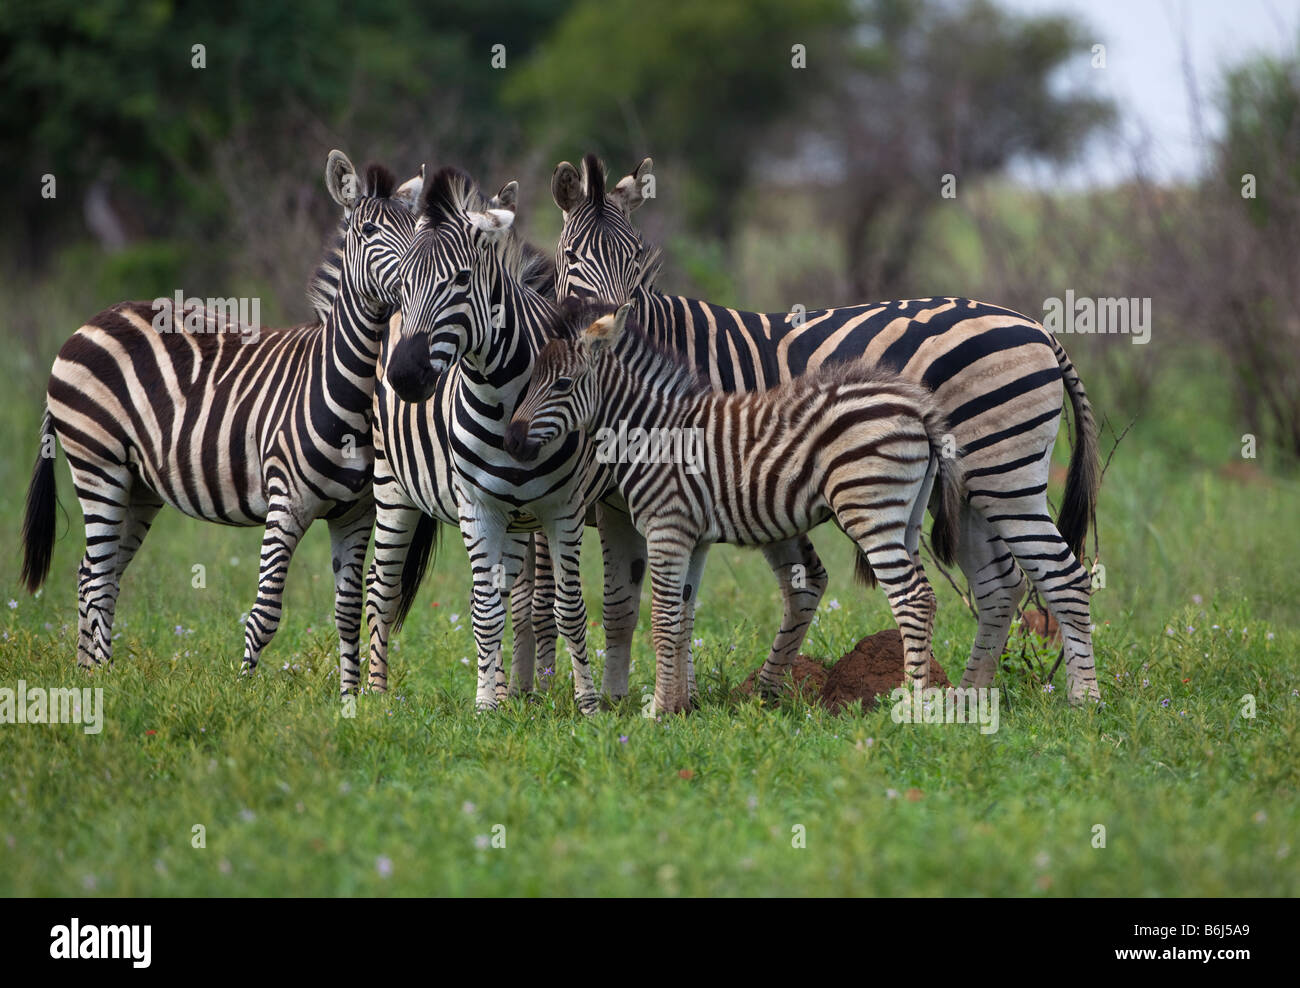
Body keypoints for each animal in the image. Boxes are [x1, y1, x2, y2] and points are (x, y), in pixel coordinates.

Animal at [19, 151, 417, 695]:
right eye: (371, 230)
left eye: (418, 229)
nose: (419, 283)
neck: (347, 388)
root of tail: (88, 322)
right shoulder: (286, 502)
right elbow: (265, 614)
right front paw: (244, 695)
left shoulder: (354, 514)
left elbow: (349, 611)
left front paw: (351, 700)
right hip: (97, 463)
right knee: (98, 579)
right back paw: (104, 682)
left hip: (138, 486)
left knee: (92, 574)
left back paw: (87, 678)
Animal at [378, 168, 612, 713]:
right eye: (403, 282)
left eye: (461, 280)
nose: (405, 376)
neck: (503, 398)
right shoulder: (477, 507)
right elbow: (484, 611)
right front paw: (485, 707)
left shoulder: (563, 509)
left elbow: (570, 608)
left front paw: (588, 706)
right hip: (390, 488)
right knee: (380, 597)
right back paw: (369, 694)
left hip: (518, 520)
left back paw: (509, 689)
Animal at [507, 299, 963, 714]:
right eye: (530, 382)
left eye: (563, 384)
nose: (512, 441)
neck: (652, 431)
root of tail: (918, 408)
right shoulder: (693, 536)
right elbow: (682, 617)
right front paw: (679, 706)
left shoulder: (666, 527)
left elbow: (663, 619)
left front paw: (656, 711)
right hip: (905, 517)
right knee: (926, 597)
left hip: (870, 511)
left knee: (912, 599)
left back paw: (913, 705)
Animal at [550, 154, 1101, 703]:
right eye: (572, 257)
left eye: (637, 257)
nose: (615, 326)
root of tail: (1038, 327)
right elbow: (651, 600)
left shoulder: (644, 496)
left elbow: (635, 603)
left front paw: (632, 700)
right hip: (967, 489)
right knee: (1000, 584)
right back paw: (969, 695)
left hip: (1003, 471)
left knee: (1063, 576)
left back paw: (1082, 703)